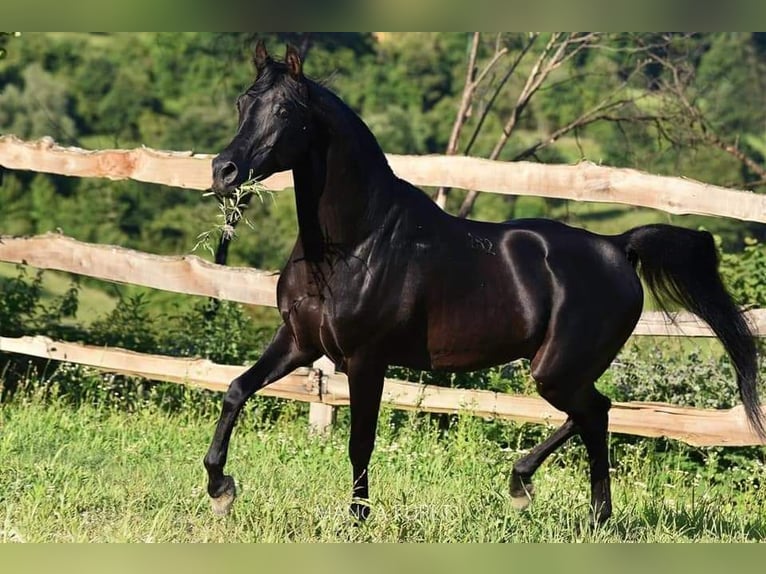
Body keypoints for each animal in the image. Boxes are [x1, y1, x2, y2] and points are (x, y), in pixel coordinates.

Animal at [203, 42, 764, 526]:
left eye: (283, 111)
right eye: (242, 102)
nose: (224, 171)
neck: (355, 242)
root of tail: (618, 246)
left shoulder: (365, 359)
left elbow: (359, 442)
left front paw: (357, 519)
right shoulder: (299, 341)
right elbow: (235, 390)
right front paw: (220, 489)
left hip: (555, 369)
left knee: (595, 413)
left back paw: (575, 508)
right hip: (558, 369)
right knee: (594, 413)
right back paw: (540, 492)